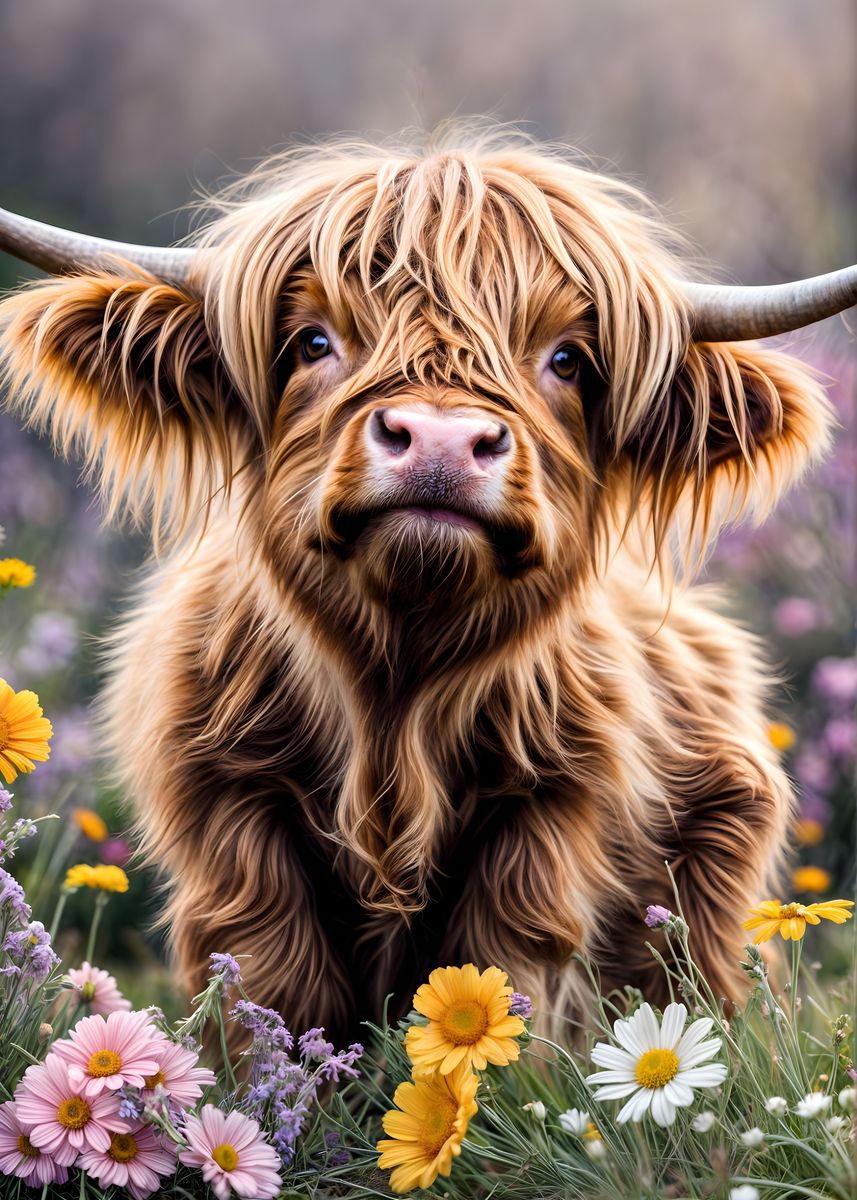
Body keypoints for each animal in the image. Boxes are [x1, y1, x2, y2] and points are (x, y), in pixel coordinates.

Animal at [1, 134, 855, 1036]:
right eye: (313, 342)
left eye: (566, 359)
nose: (440, 442)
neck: (394, 697)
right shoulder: (231, 811)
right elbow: (275, 989)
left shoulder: (546, 820)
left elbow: (496, 982)